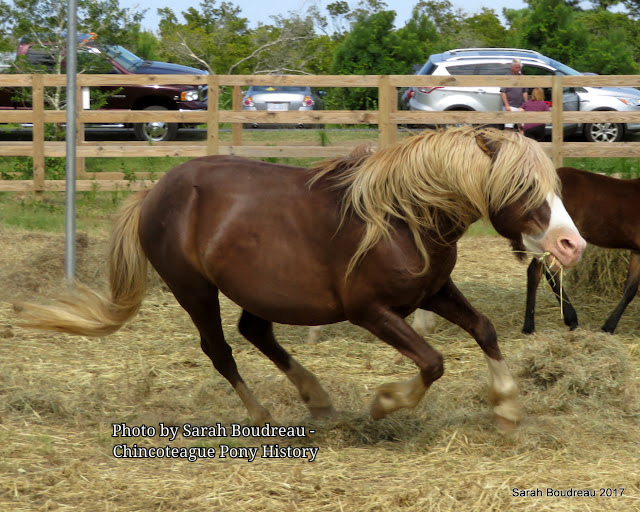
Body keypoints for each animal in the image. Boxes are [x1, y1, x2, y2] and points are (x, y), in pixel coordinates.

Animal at [19, 127, 585, 428]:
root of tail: (154, 191)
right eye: (521, 186)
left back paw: (317, 399)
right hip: (194, 290)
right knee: (220, 349)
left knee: (255, 332)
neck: (402, 218)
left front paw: (507, 407)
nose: (571, 244)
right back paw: (263, 417)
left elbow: (484, 329)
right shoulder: (370, 312)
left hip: (257, 292)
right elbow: (432, 362)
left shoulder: (434, 292)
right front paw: (384, 403)